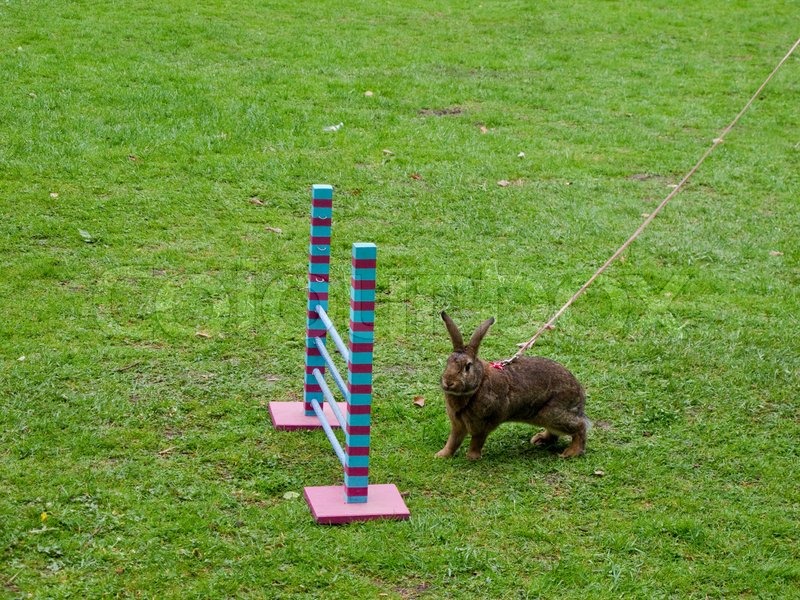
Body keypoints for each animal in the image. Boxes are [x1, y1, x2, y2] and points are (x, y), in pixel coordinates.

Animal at [436, 311, 589, 460]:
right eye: (448, 362)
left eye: (467, 367)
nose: (448, 382)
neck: (478, 385)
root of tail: (580, 396)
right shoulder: (458, 425)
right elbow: (453, 441)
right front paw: (441, 455)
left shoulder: (484, 424)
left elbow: (476, 441)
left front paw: (471, 458)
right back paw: (540, 440)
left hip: (553, 414)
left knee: (581, 426)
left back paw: (571, 452)